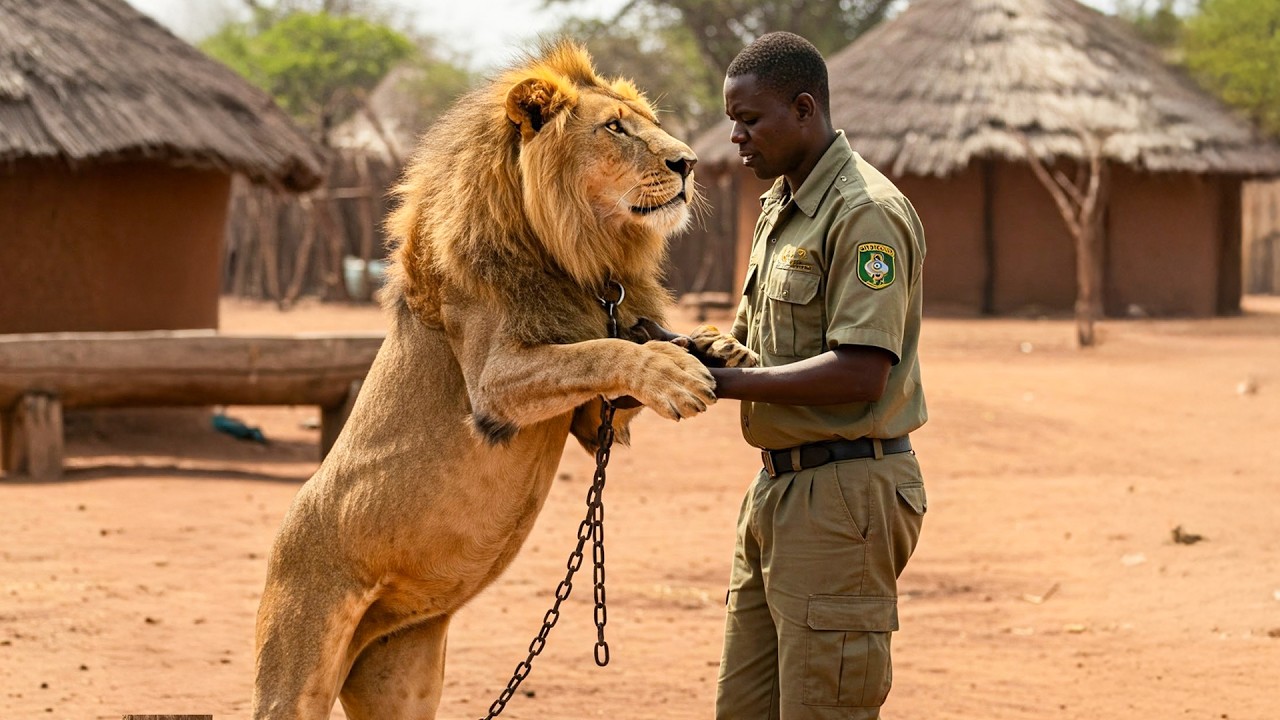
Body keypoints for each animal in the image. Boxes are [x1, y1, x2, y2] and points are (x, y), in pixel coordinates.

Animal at [251, 41, 756, 720]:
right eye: (614, 128)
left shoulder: (590, 419)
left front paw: (717, 343)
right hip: (299, 662)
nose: (690, 162)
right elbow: (598, 349)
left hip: (402, 673)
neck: (583, 255)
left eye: (647, 122)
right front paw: (672, 371)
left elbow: (623, 354)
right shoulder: (495, 382)